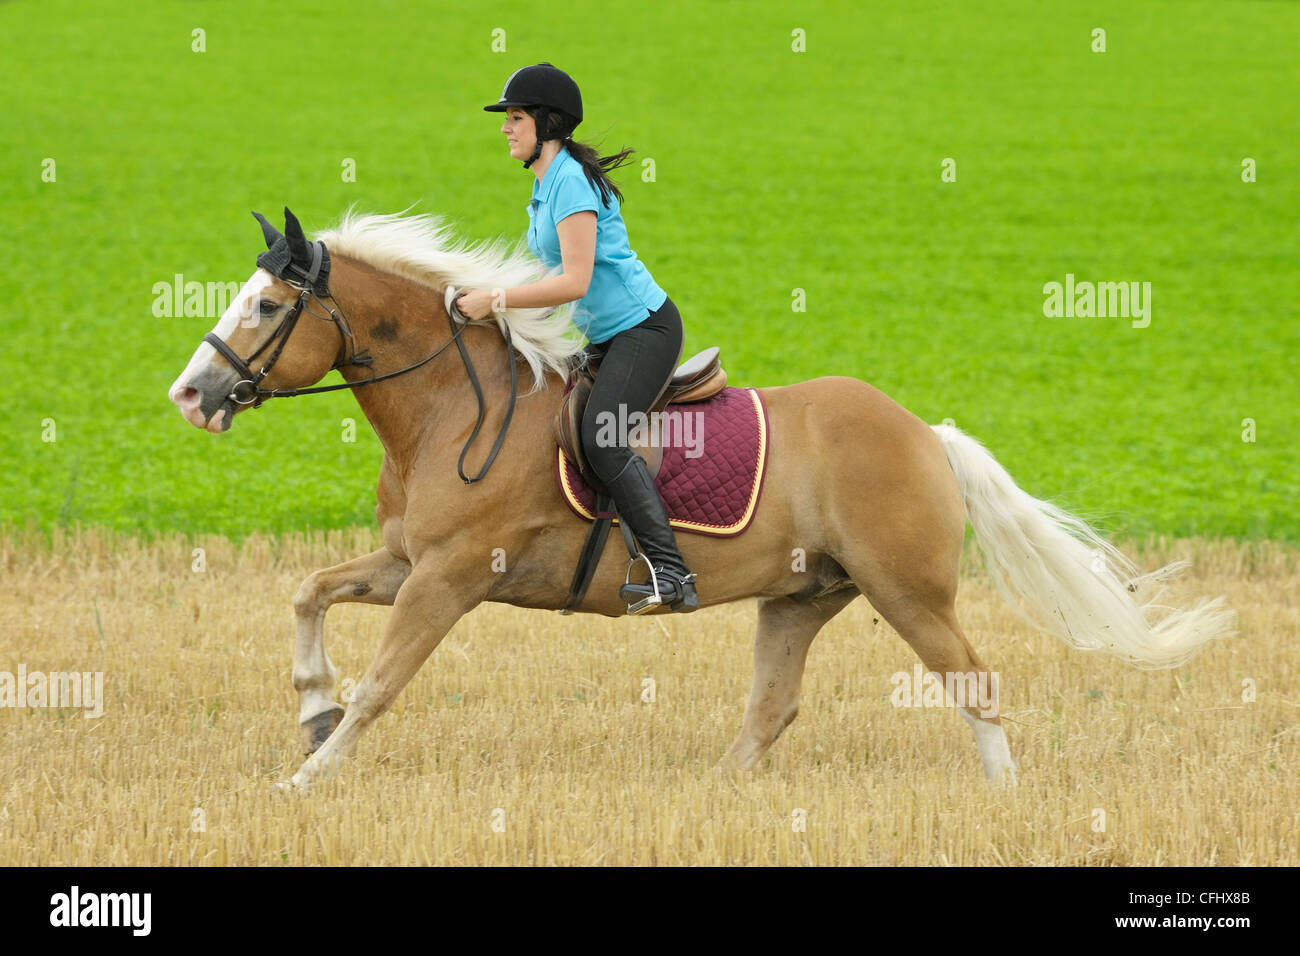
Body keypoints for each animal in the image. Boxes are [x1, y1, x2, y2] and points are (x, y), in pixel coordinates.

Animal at [167, 207, 1236, 790]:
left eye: (266, 306)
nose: (191, 393)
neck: (450, 409)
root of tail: (925, 432)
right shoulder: (405, 563)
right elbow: (307, 592)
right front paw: (310, 709)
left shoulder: (452, 576)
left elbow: (384, 684)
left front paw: (307, 773)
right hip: (802, 595)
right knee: (773, 707)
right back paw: (719, 794)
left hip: (909, 591)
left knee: (973, 679)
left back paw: (1004, 792)